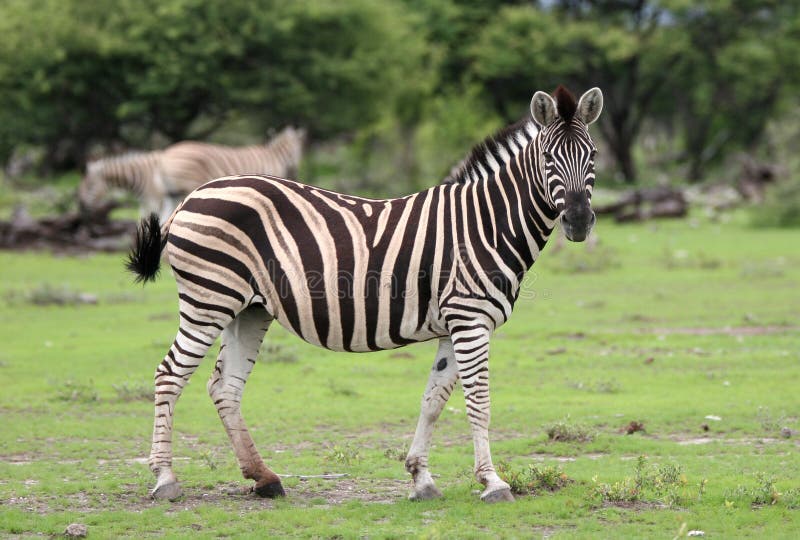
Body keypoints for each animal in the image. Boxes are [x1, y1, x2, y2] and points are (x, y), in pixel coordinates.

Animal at [156, 126, 306, 221]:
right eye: (296, 151)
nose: (295, 172)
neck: (277, 155)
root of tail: (163, 157)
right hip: (189, 186)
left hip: (171, 193)